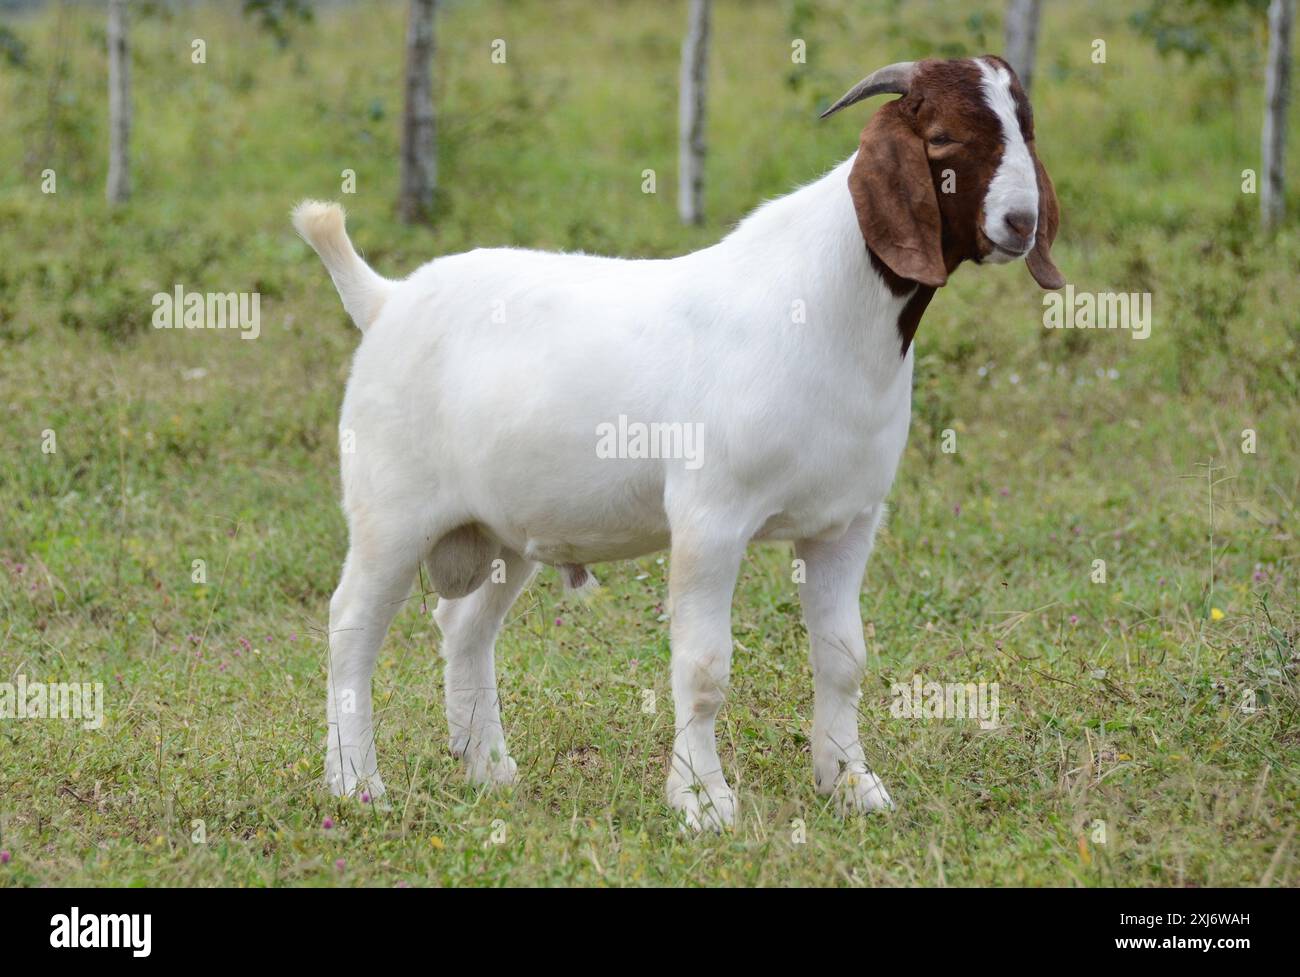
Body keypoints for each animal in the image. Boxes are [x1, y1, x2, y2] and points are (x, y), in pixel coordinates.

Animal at [294, 55, 1063, 831]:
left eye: (1025, 129)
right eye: (941, 138)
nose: (1020, 223)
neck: (824, 309)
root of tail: (385, 299)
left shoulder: (847, 524)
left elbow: (844, 657)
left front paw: (852, 784)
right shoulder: (709, 518)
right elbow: (703, 665)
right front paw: (703, 802)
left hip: (504, 528)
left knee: (463, 625)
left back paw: (491, 771)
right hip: (391, 512)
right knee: (351, 625)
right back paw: (356, 782)